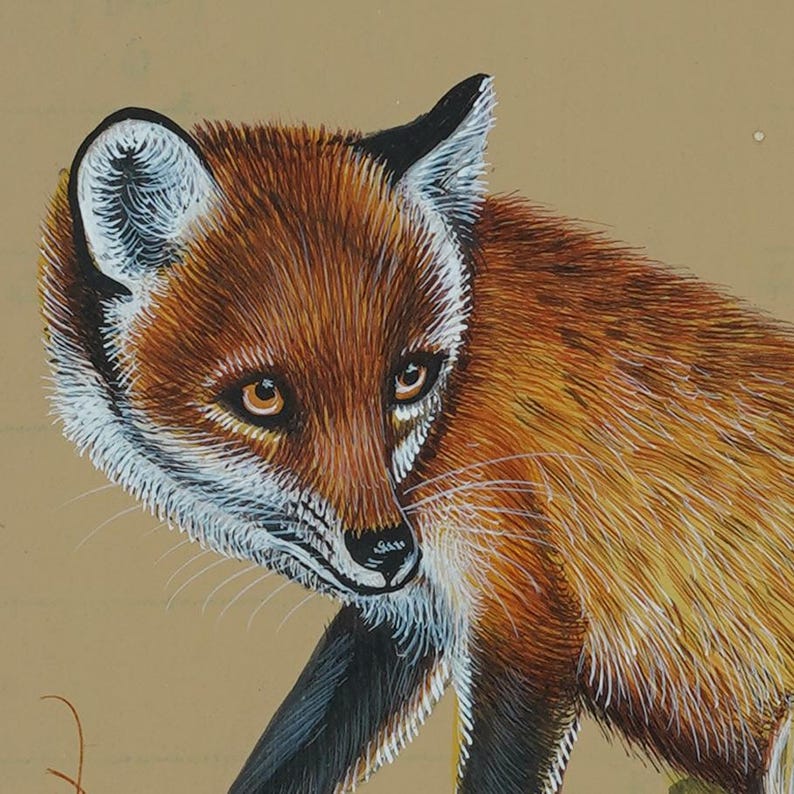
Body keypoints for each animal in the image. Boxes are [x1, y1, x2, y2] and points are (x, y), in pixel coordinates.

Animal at [38, 74, 793, 793]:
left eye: (408, 378)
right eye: (263, 396)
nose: (389, 551)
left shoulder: (527, 611)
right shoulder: (400, 624)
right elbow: (290, 760)